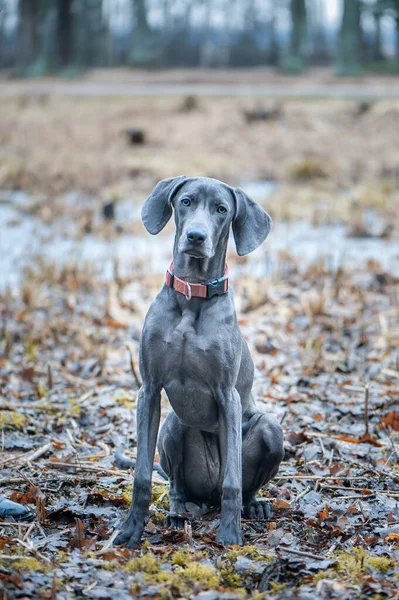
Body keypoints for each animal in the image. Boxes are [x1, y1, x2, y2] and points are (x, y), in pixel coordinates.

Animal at [114, 176, 286, 548]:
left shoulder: (228, 395)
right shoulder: (148, 390)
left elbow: (233, 481)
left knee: (239, 485)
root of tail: (207, 497)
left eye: (222, 209)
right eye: (186, 201)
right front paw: (131, 528)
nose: (196, 236)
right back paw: (178, 511)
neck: (192, 293)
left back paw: (254, 506)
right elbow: (142, 475)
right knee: (177, 484)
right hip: (174, 425)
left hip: (270, 428)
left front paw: (231, 533)